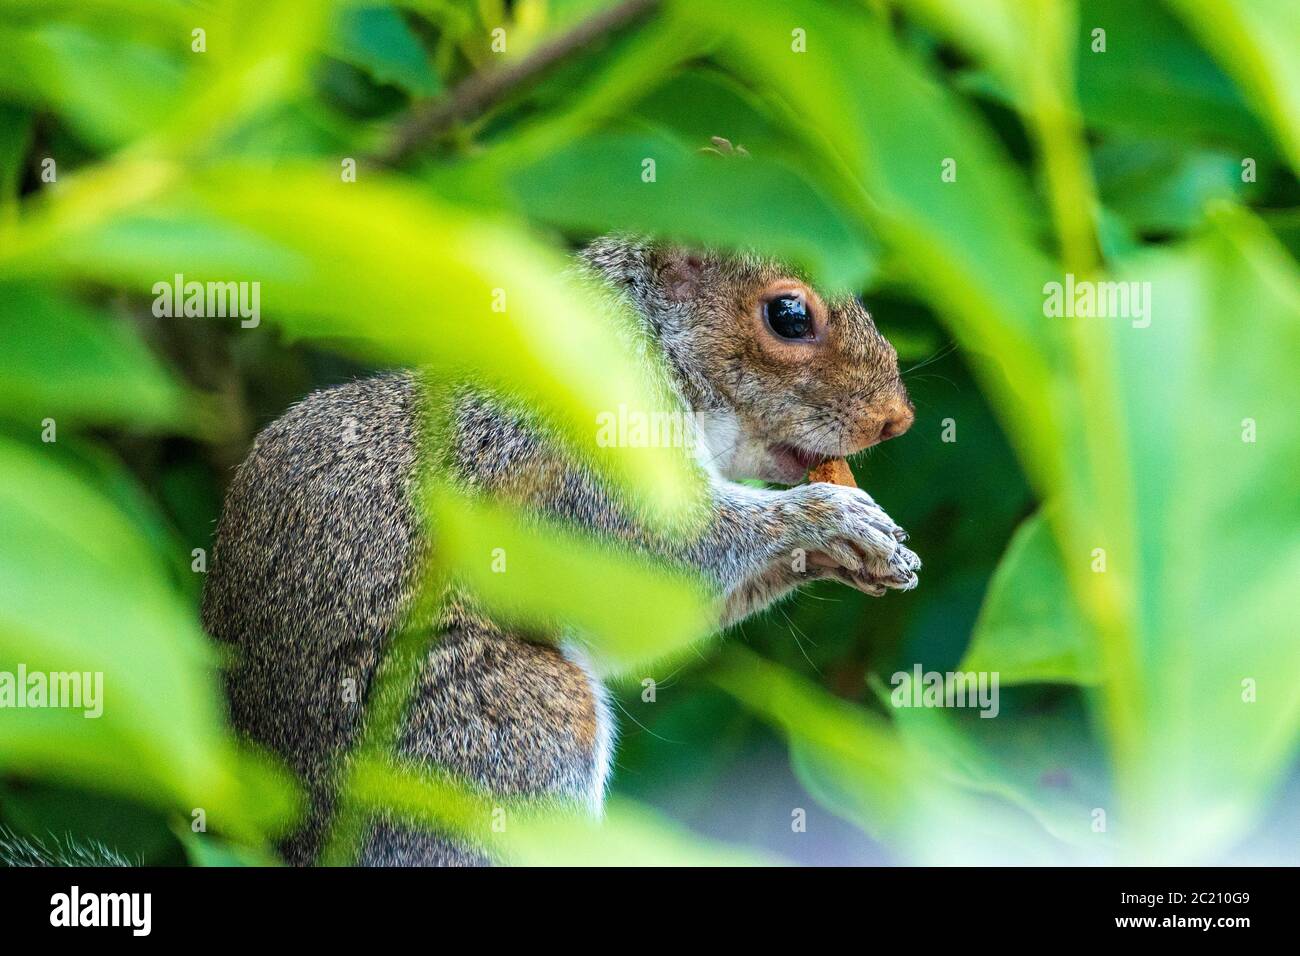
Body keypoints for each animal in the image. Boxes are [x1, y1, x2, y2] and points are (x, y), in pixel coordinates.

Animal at [201, 235, 920, 865]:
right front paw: (827, 520)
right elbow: (661, 549)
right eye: (789, 315)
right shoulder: (581, 454)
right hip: (494, 736)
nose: (899, 419)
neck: (649, 339)